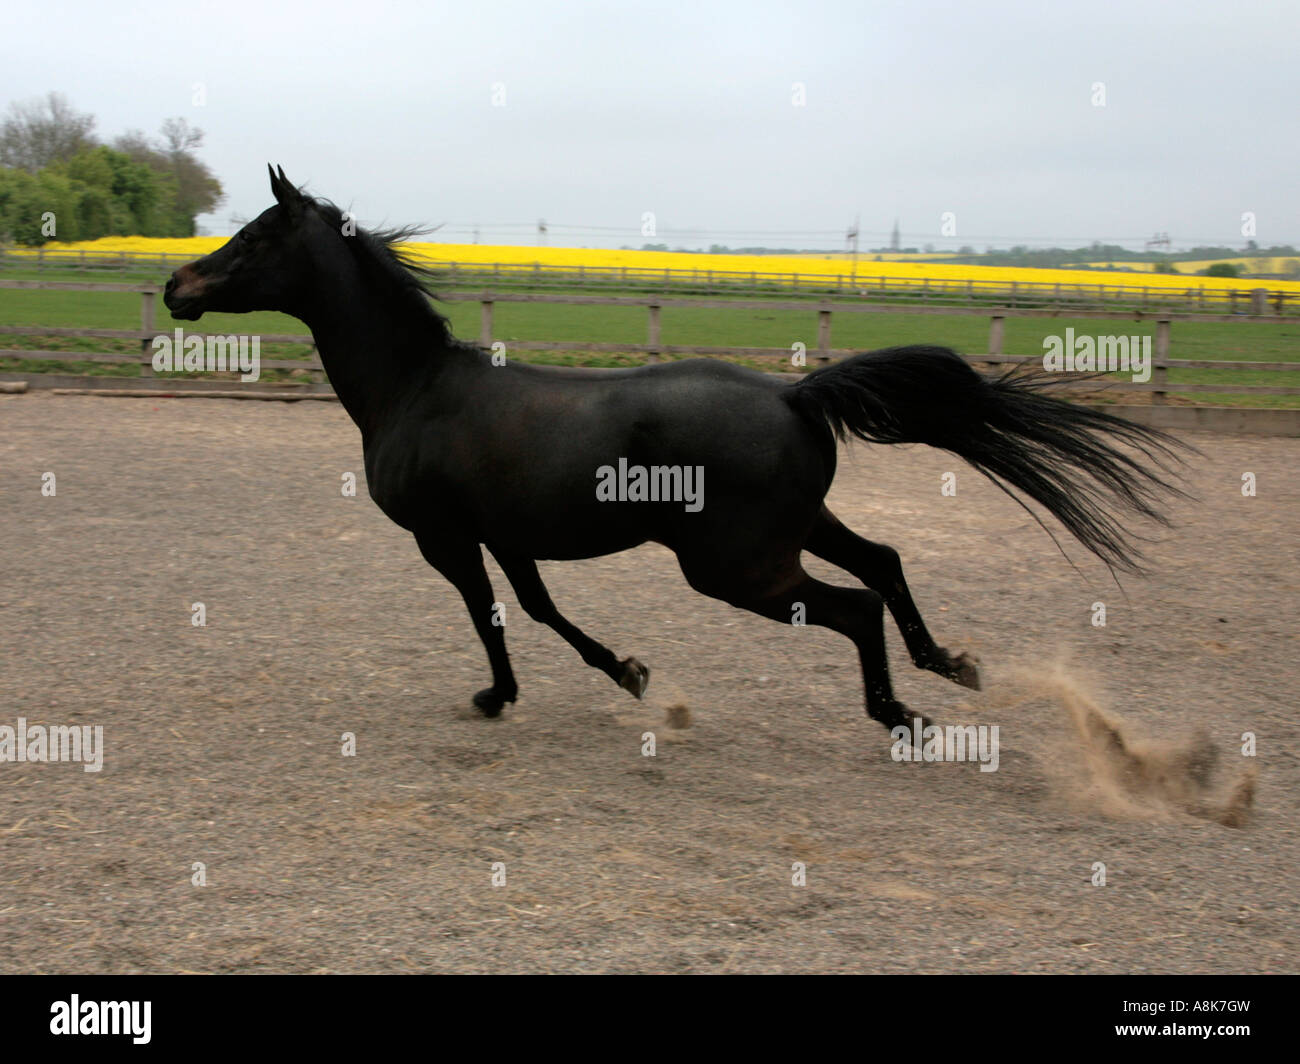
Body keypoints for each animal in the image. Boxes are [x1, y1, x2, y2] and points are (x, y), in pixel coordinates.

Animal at [164, 165, 1184, 739]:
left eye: (251, 237)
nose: (176, 286)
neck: (414, 389)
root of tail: (792, 392)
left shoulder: (447, 539)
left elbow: (495, 617)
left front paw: (500, 697)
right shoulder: (508, 536)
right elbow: (538, 609)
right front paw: (626, 672)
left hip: (737, 566)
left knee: (855, 605)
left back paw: (900, 715)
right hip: (795, 529)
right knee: (885, 562)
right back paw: (950, 665)